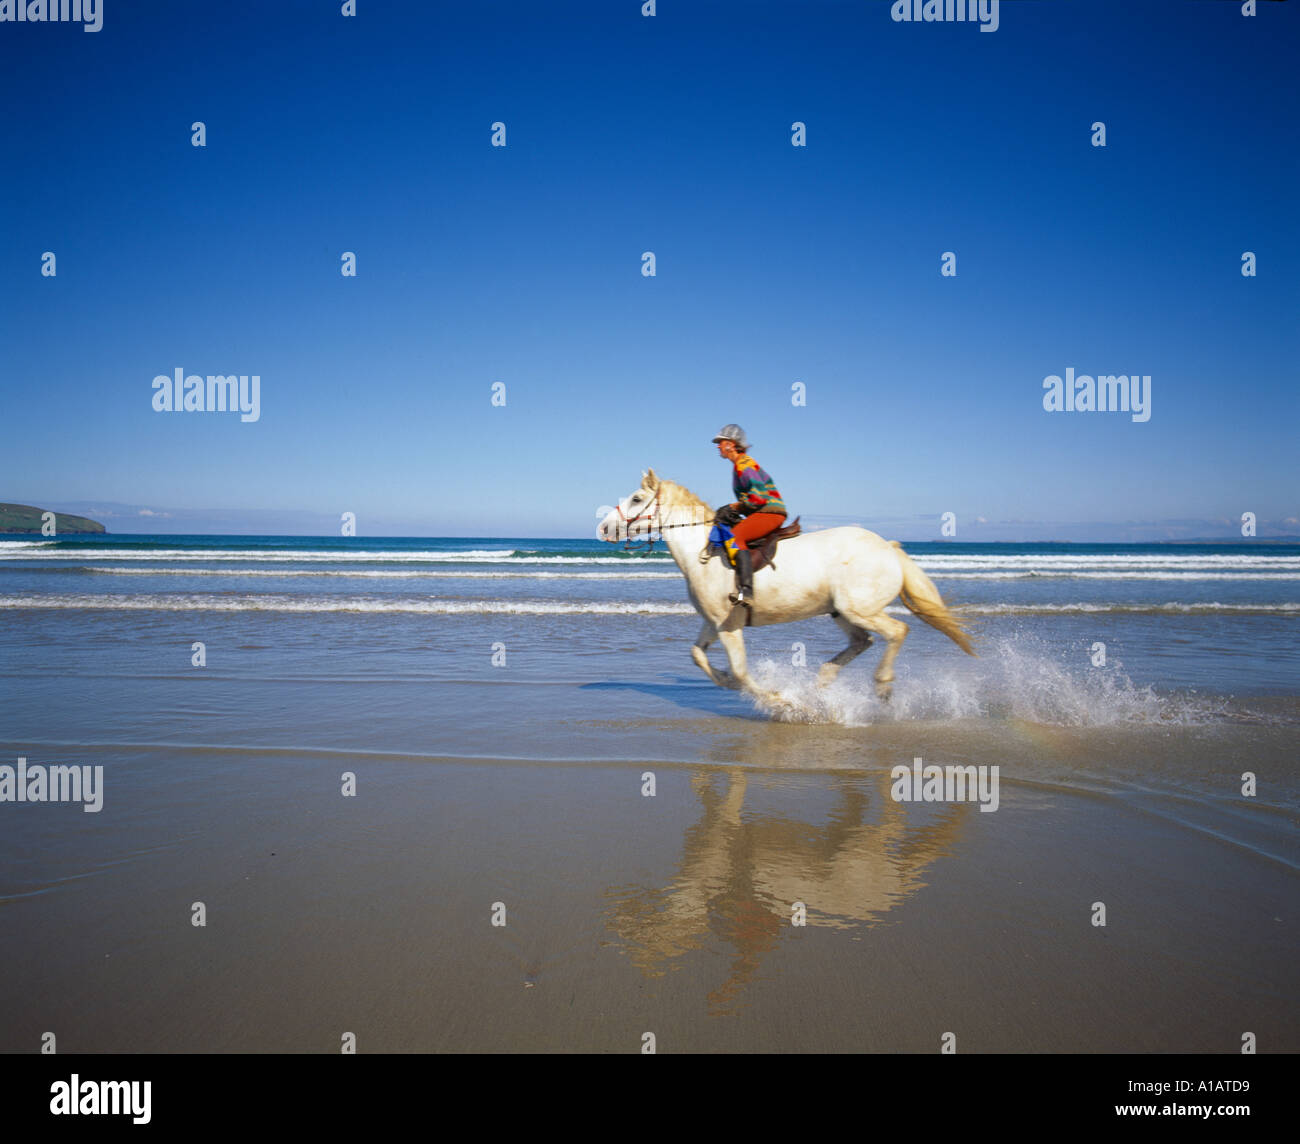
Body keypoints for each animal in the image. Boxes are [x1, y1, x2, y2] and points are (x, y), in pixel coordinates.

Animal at [597, 469, 975, 703]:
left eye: (635, 499)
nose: (602, 528)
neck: (702, 551)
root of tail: (889, 548)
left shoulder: (729, 626)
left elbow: (741, 671)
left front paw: (780, 702)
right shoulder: (713, 622)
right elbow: (697, 656)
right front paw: (726, 681)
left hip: (859, 608)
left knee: (897, 631)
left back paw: (880, 685)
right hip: (841, 612)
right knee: (863, 641)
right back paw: (824, 681)